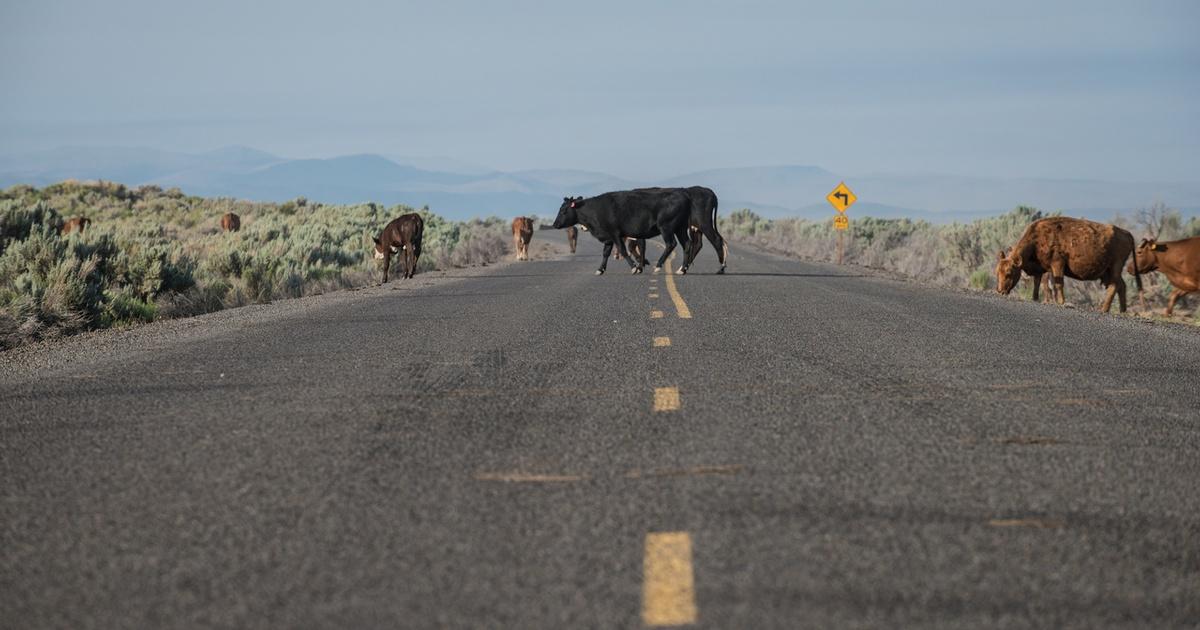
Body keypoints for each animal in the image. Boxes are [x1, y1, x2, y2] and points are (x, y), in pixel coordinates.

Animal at [552, 189, 692, 275]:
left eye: (563, 210)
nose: (555, 224)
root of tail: (683, 195)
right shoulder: (608, 237)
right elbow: (605, 253)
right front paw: (600, 270)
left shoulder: (615, 234)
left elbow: (623, 251)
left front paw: (634, 268)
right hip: (680, 228)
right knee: (686, 245)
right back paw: (683, 269)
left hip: (666, 227)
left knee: (671, 244)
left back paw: (658, 266)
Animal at [995, 217, 1141, 313]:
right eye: (997, 272)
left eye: (1009, 273)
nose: (1000, 291)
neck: (1036, 239)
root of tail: (1127, 233)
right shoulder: (1042, 269)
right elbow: (1039, 284)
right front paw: (1035, 299)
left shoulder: (1057, 264)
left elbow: (1058, 284)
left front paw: (1061, 302)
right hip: (1108, 271)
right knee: (1121, 285)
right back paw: (1122, 310)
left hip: (1115, 266)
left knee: (1114, 286)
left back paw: (1104, 309)